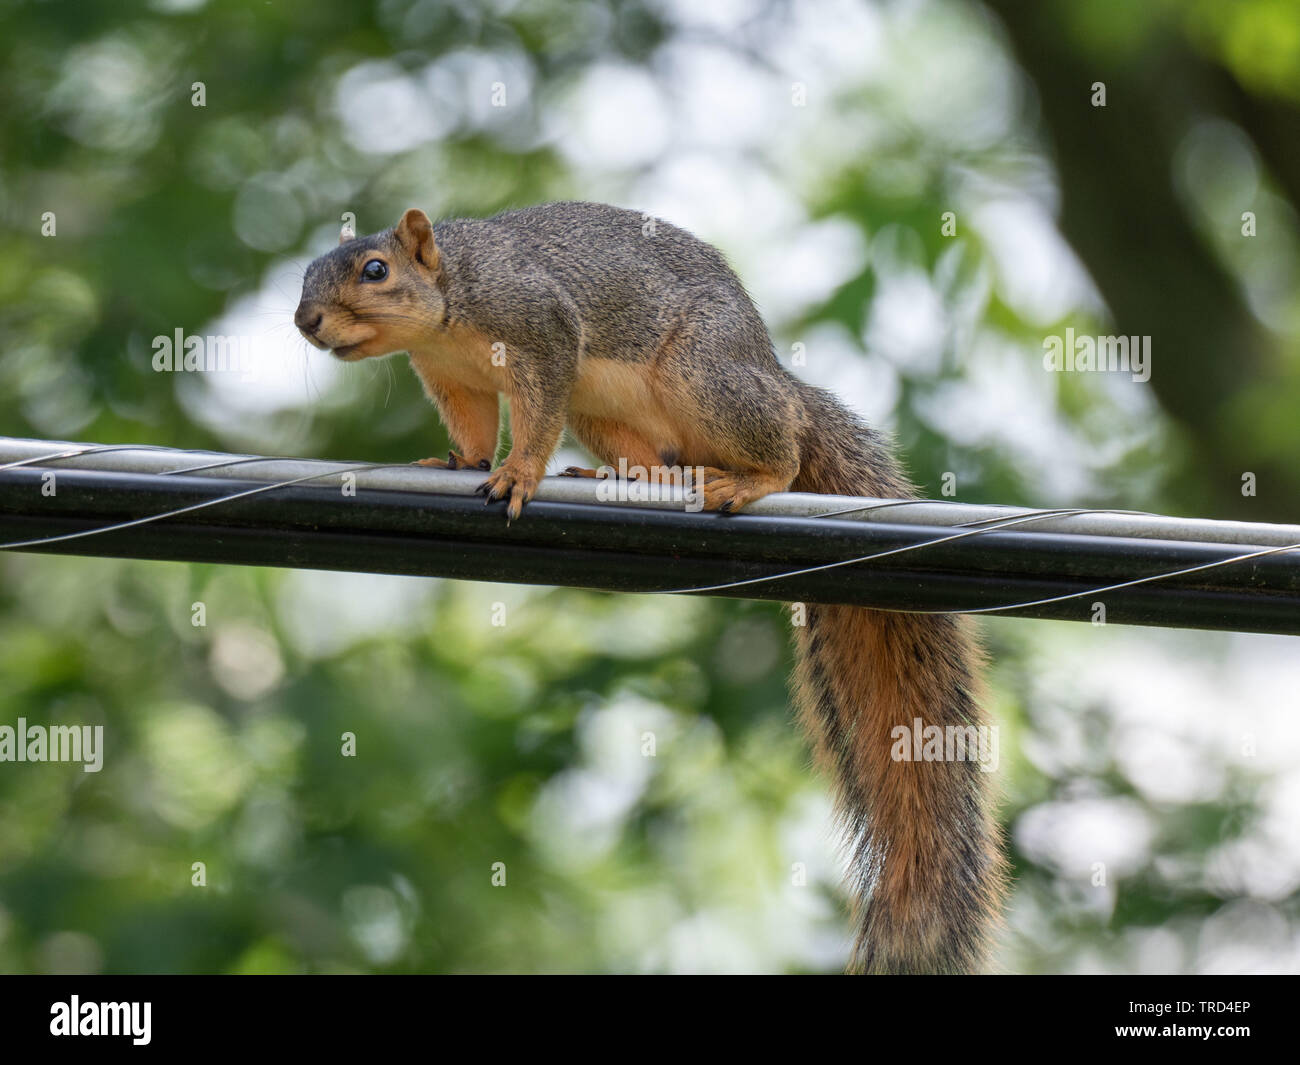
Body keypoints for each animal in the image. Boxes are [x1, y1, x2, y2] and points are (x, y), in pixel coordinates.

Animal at [295, 202, 1008, 974]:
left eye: (375, 270)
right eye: (306, 274)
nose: (305, 320)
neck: (450, 305)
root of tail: (773, 371)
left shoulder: (542, 326)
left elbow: (537, 413)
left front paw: (520, 473)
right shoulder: (453, 377)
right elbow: (475, 427)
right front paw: (459, 461)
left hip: (705, 374)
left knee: (782, 444)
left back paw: (750, 476)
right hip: (608, 412)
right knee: (660, 457)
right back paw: (629, 475)